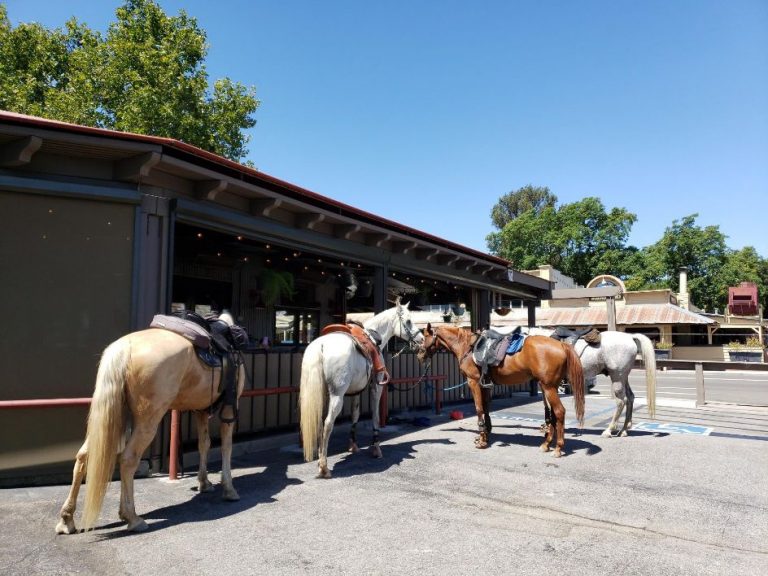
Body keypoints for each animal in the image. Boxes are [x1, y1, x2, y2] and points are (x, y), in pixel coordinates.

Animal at [55, 312, 246, 534]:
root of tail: (123, 349)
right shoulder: (229, 407)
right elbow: (226, 447)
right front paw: (229, 489)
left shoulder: (201, 410)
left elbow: (204, 445)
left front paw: (204, 483)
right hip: (147, 421)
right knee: (128, 459)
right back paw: (132, 517)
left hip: (115, 417)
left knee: (84, 456)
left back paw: (67, 519)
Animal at [299, 300, 424, 478]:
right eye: (408, 321)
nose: (421, 339)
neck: (375, 338)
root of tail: (321, 345)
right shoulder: (376, 387)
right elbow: (375, 416)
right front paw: (376, 448)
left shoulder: (356, 391)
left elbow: (355, 414)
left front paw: (353, 445)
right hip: (337, 395)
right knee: (328, 423)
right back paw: (324, 467)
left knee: (321, 423)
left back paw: (321, 459)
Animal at [417, 324, 585, 457]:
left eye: (424, 337)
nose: (419, 355)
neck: (466, 347)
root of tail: (562, 345)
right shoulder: (484, 385)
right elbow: (485, 408)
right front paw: (485, 436)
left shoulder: (473, 382)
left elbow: (479, 409)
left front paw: (481, 441)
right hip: (549, 387)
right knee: (552, 414)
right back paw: (546, 444)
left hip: (549, 387)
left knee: (559, 412)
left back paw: (558, 448)